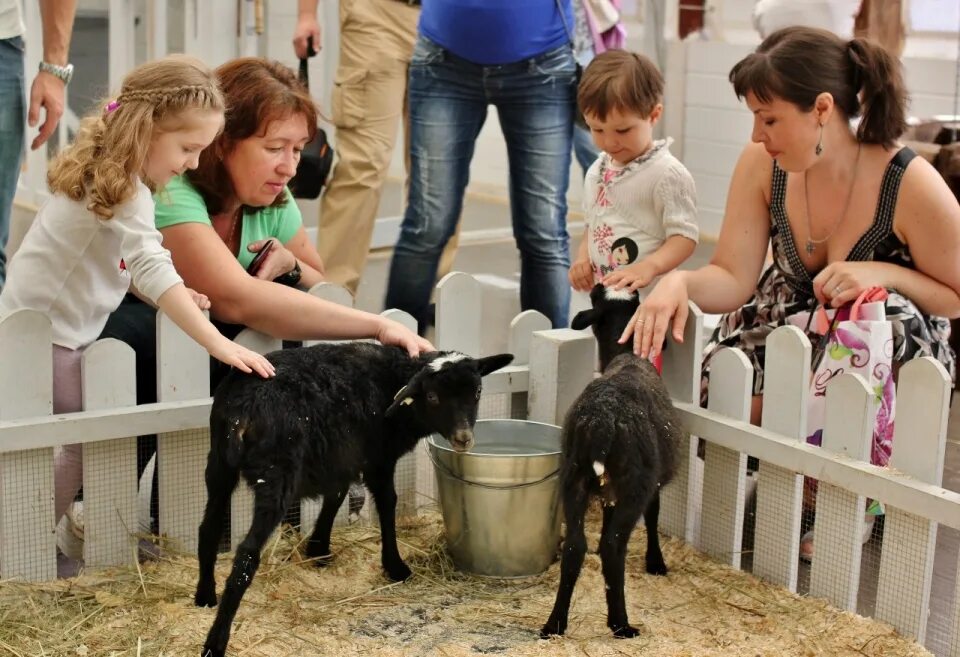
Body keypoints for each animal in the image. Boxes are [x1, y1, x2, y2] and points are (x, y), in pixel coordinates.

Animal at [192, 344, 512, 656]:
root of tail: (242, 409)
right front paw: (395, 566)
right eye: (432, 396)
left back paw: (205, 595)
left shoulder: (340, 457)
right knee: (246, 553)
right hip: (276, 472)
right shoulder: (378, 459)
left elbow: (336, 495)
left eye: (477, 392)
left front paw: (318, 548)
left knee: (208, 530)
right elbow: (387, 503)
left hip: (219, 464)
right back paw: (215, 642)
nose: (463, 439)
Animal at [540, 284, 684, 640]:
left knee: (575, 546)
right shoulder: (650, 484)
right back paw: (621, 624)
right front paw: (656, 563)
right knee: (613, 546)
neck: (626, 353)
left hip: (574, 478)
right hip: (634, 482)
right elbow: (653, 516)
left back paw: (555, 624)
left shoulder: (608, 491)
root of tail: (603, 422)